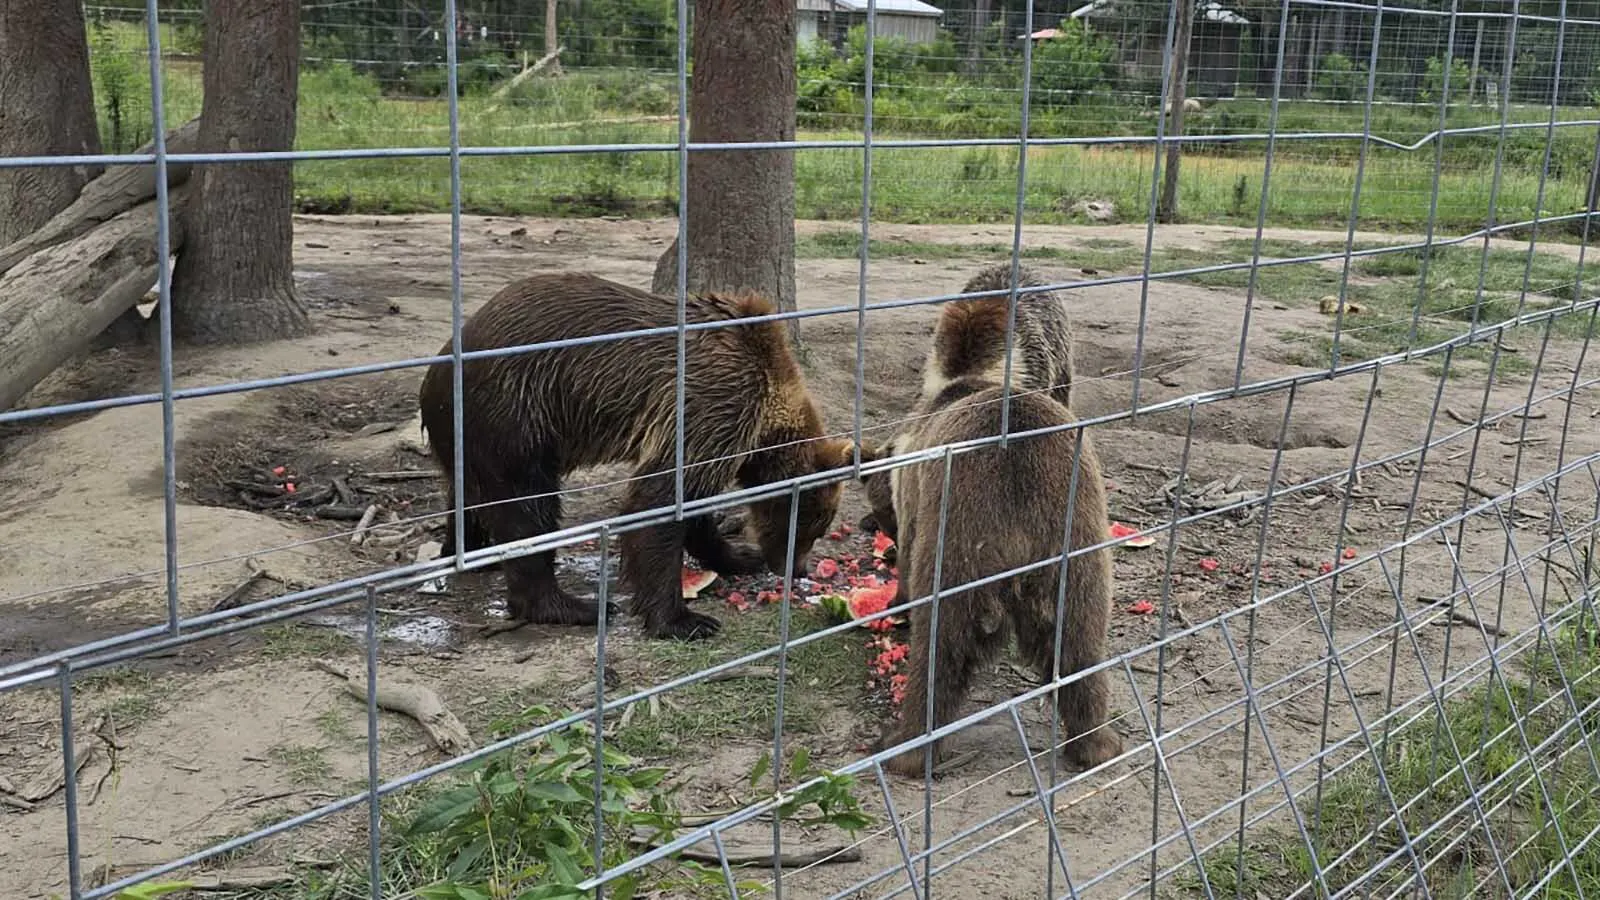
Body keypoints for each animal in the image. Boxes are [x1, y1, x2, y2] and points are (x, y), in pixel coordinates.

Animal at [417, 271, 868, 640]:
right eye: (809, 524)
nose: (798, 568)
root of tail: (436, 368)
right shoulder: (712, 405)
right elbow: (659, 499)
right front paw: (682, 619)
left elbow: (693, 508)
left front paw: (739, 556)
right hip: (514, 413)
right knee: (528, 507)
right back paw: (570, 606)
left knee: (469, 496)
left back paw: (472, 554)